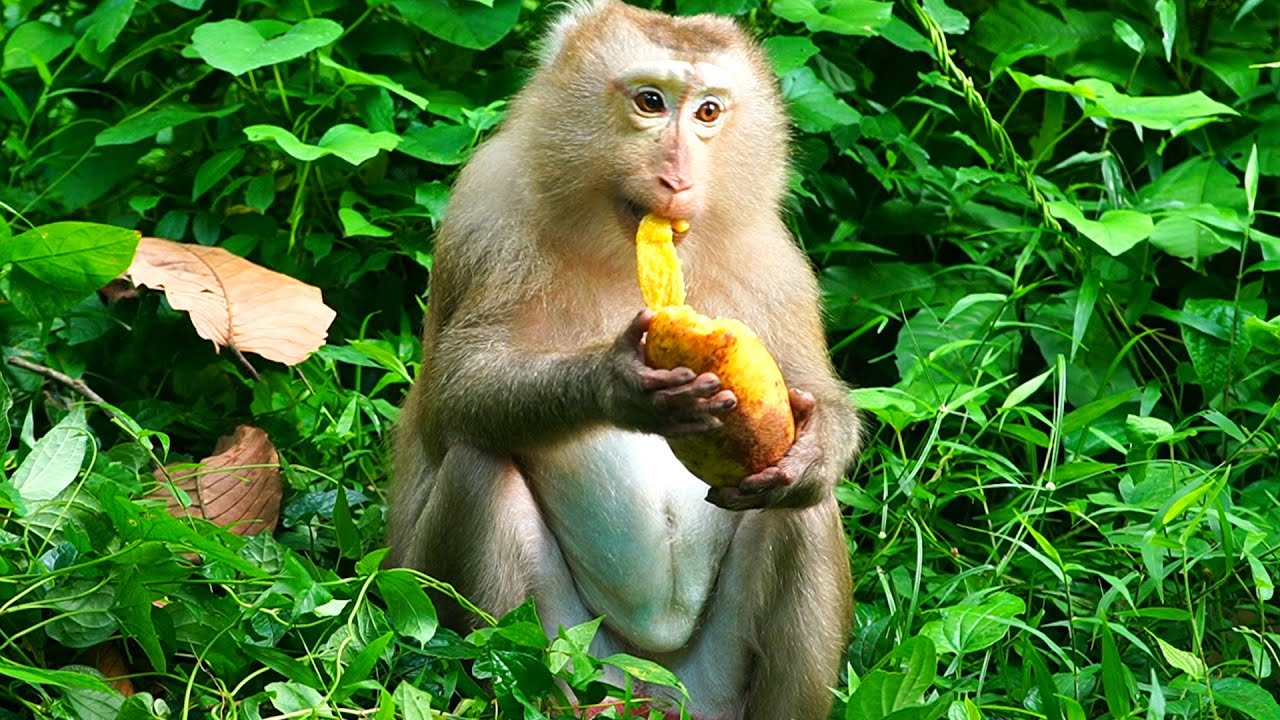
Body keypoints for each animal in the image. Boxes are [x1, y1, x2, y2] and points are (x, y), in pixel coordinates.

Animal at [388, 2, 862, 718]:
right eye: (650, 101)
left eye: (708, 112)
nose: (678, 176)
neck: (616, 245)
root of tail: (649, 683)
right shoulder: (485, 215)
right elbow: (454, 397)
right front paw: (617, 385)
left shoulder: (775, 261)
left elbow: (811, 397)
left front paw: (811, 449)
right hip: (573, 650)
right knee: (478, 465)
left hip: (706, 688)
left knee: (801, 509)